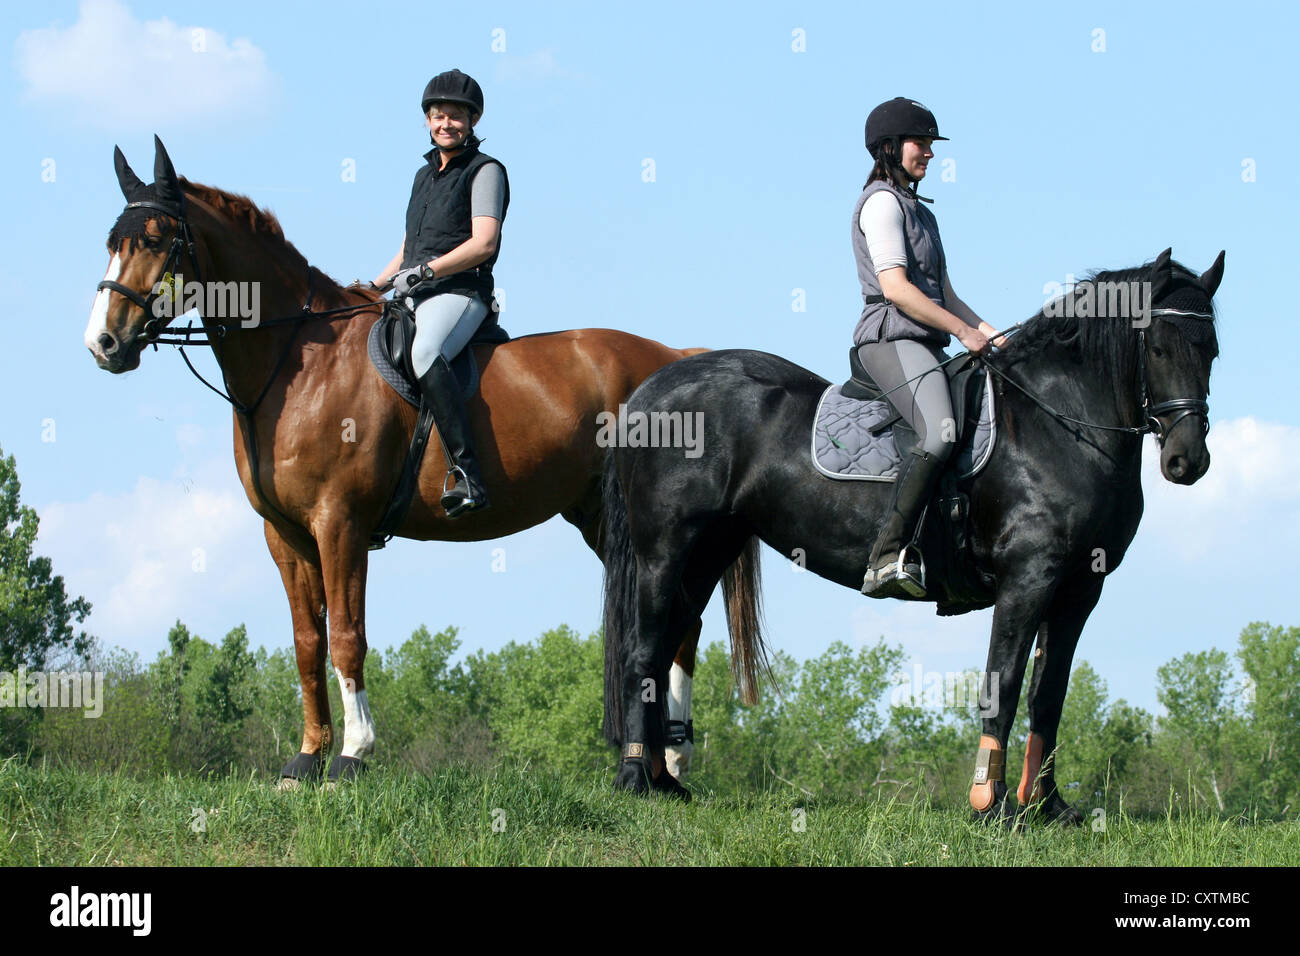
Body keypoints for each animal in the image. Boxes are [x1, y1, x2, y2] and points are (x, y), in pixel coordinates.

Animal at [84, 135, 708, 786]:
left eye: (157, 239)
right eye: (112, 243)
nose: (103, 343)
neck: (300, 361)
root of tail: (675, 356)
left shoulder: (341, 524)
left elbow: (346, 636)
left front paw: (352, 754)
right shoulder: (285, 534)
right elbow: (307, 641)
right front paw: (305, 759)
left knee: (677, 622)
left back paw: (662, 761)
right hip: (599, 519)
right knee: (676, 622)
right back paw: (662, 763)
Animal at [601, 249, 1224, 820]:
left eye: (1211, 350)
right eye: (1159, 348)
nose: (1187, 461)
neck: (1055, 423)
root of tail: (651, 391)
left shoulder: (1078, 590)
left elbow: (1048, 696)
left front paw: (1048, 806)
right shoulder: (1028, 578)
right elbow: (1003, 683)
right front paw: (991, 805)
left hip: (709, 552)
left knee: (663, 651)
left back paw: (663, 782)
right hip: (664, 552)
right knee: (642, 651)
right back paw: (633, 780)